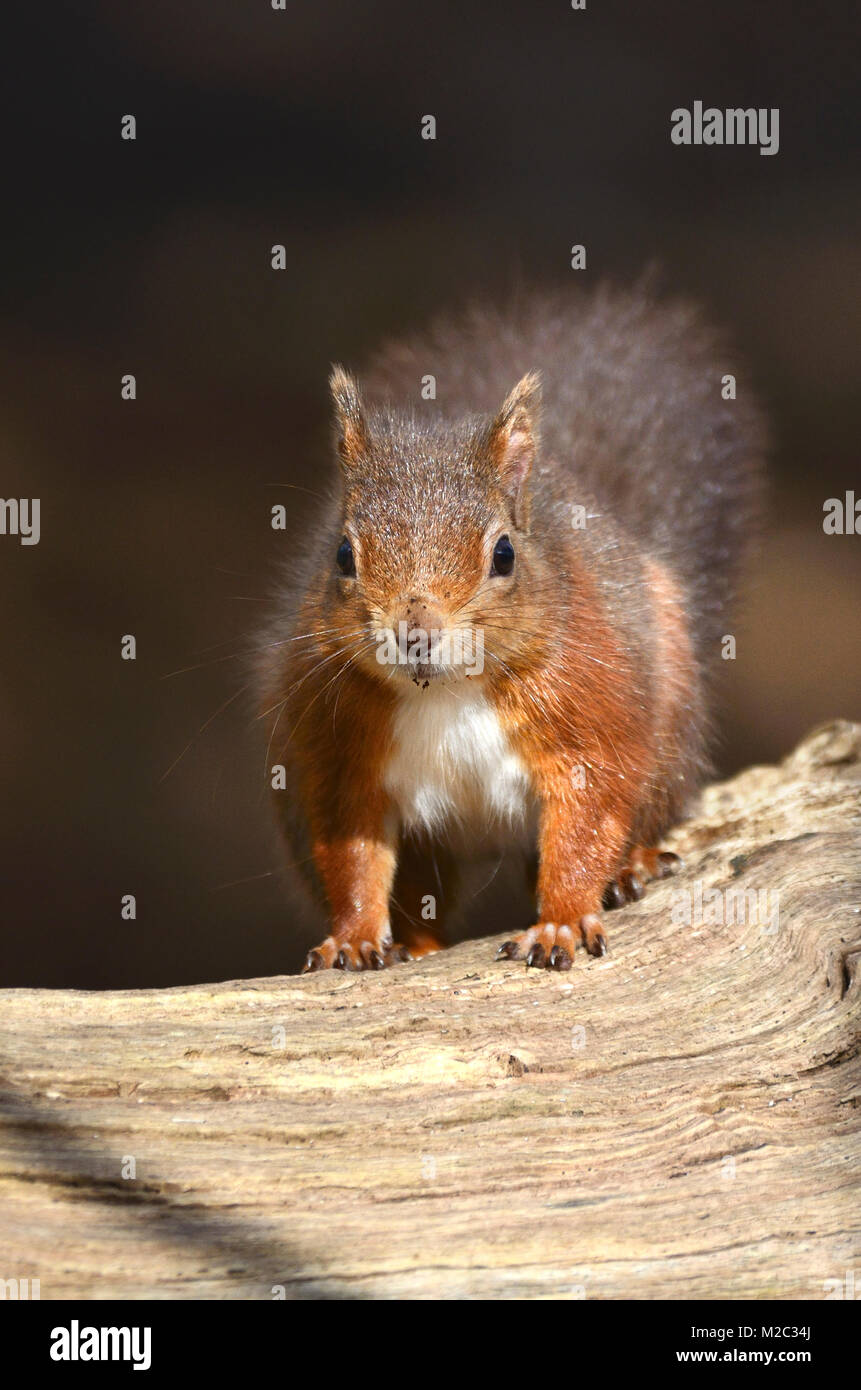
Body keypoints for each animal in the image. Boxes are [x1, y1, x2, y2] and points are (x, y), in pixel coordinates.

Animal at [259, 283, 766, 972]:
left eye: (504, 554)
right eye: (341, 554)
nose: (415, 632)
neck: (444, 692)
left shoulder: (589, 715)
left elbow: (587, 818)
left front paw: (560, 923)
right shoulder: (336, 748)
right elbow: (351, 853)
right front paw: (354, 935)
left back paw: (631, 867)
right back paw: (414, 945)